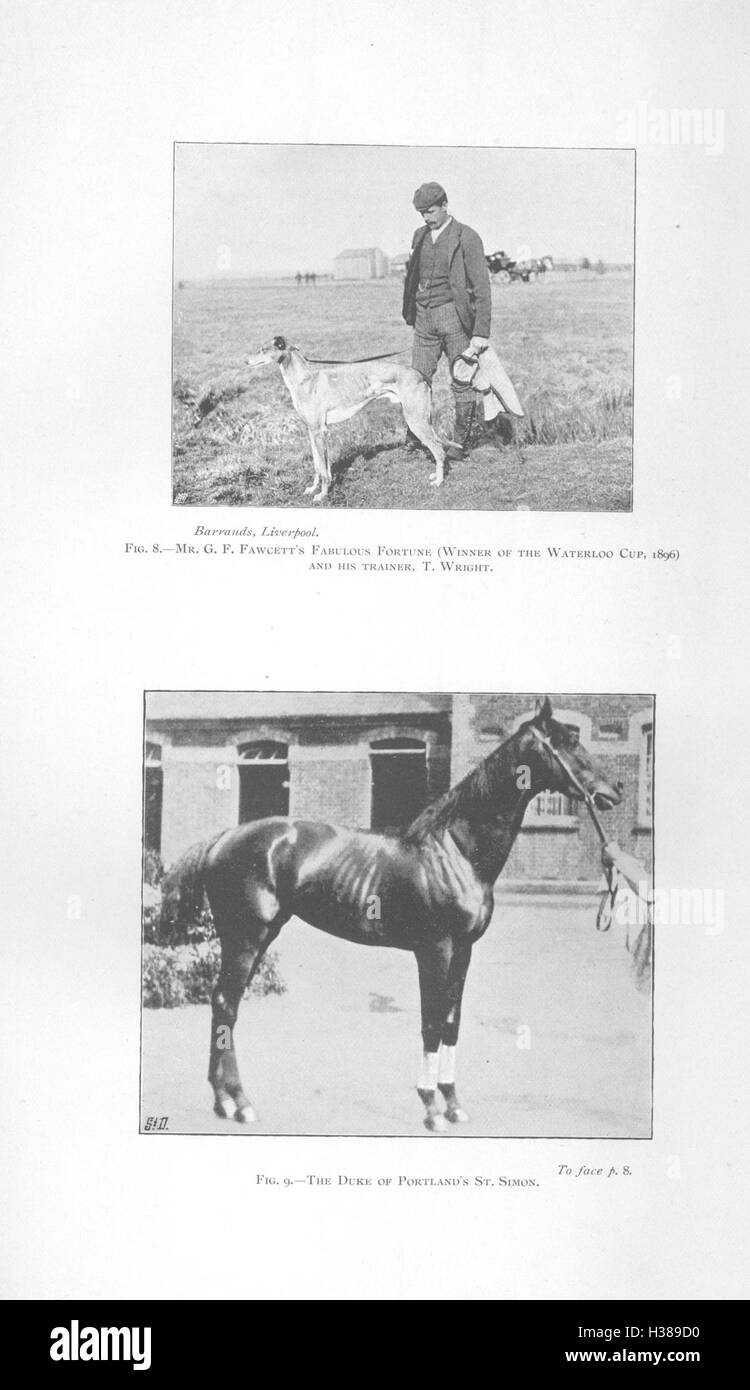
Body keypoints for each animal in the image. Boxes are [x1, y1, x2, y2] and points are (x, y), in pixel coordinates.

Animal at [160, 698, 623, 1132]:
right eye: (567, 741)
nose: (613, 790)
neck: (456, 852)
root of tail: (224, 837)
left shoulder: (464, 950)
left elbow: (451, 1022)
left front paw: (453, 1103)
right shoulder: (435, 949)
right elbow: (431, 1023)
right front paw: (431, 1107)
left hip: (258, 936)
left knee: (223, 1005)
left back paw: (223, 1101)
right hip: (246, 937)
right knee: (226, 1004)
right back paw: (239, 1103)